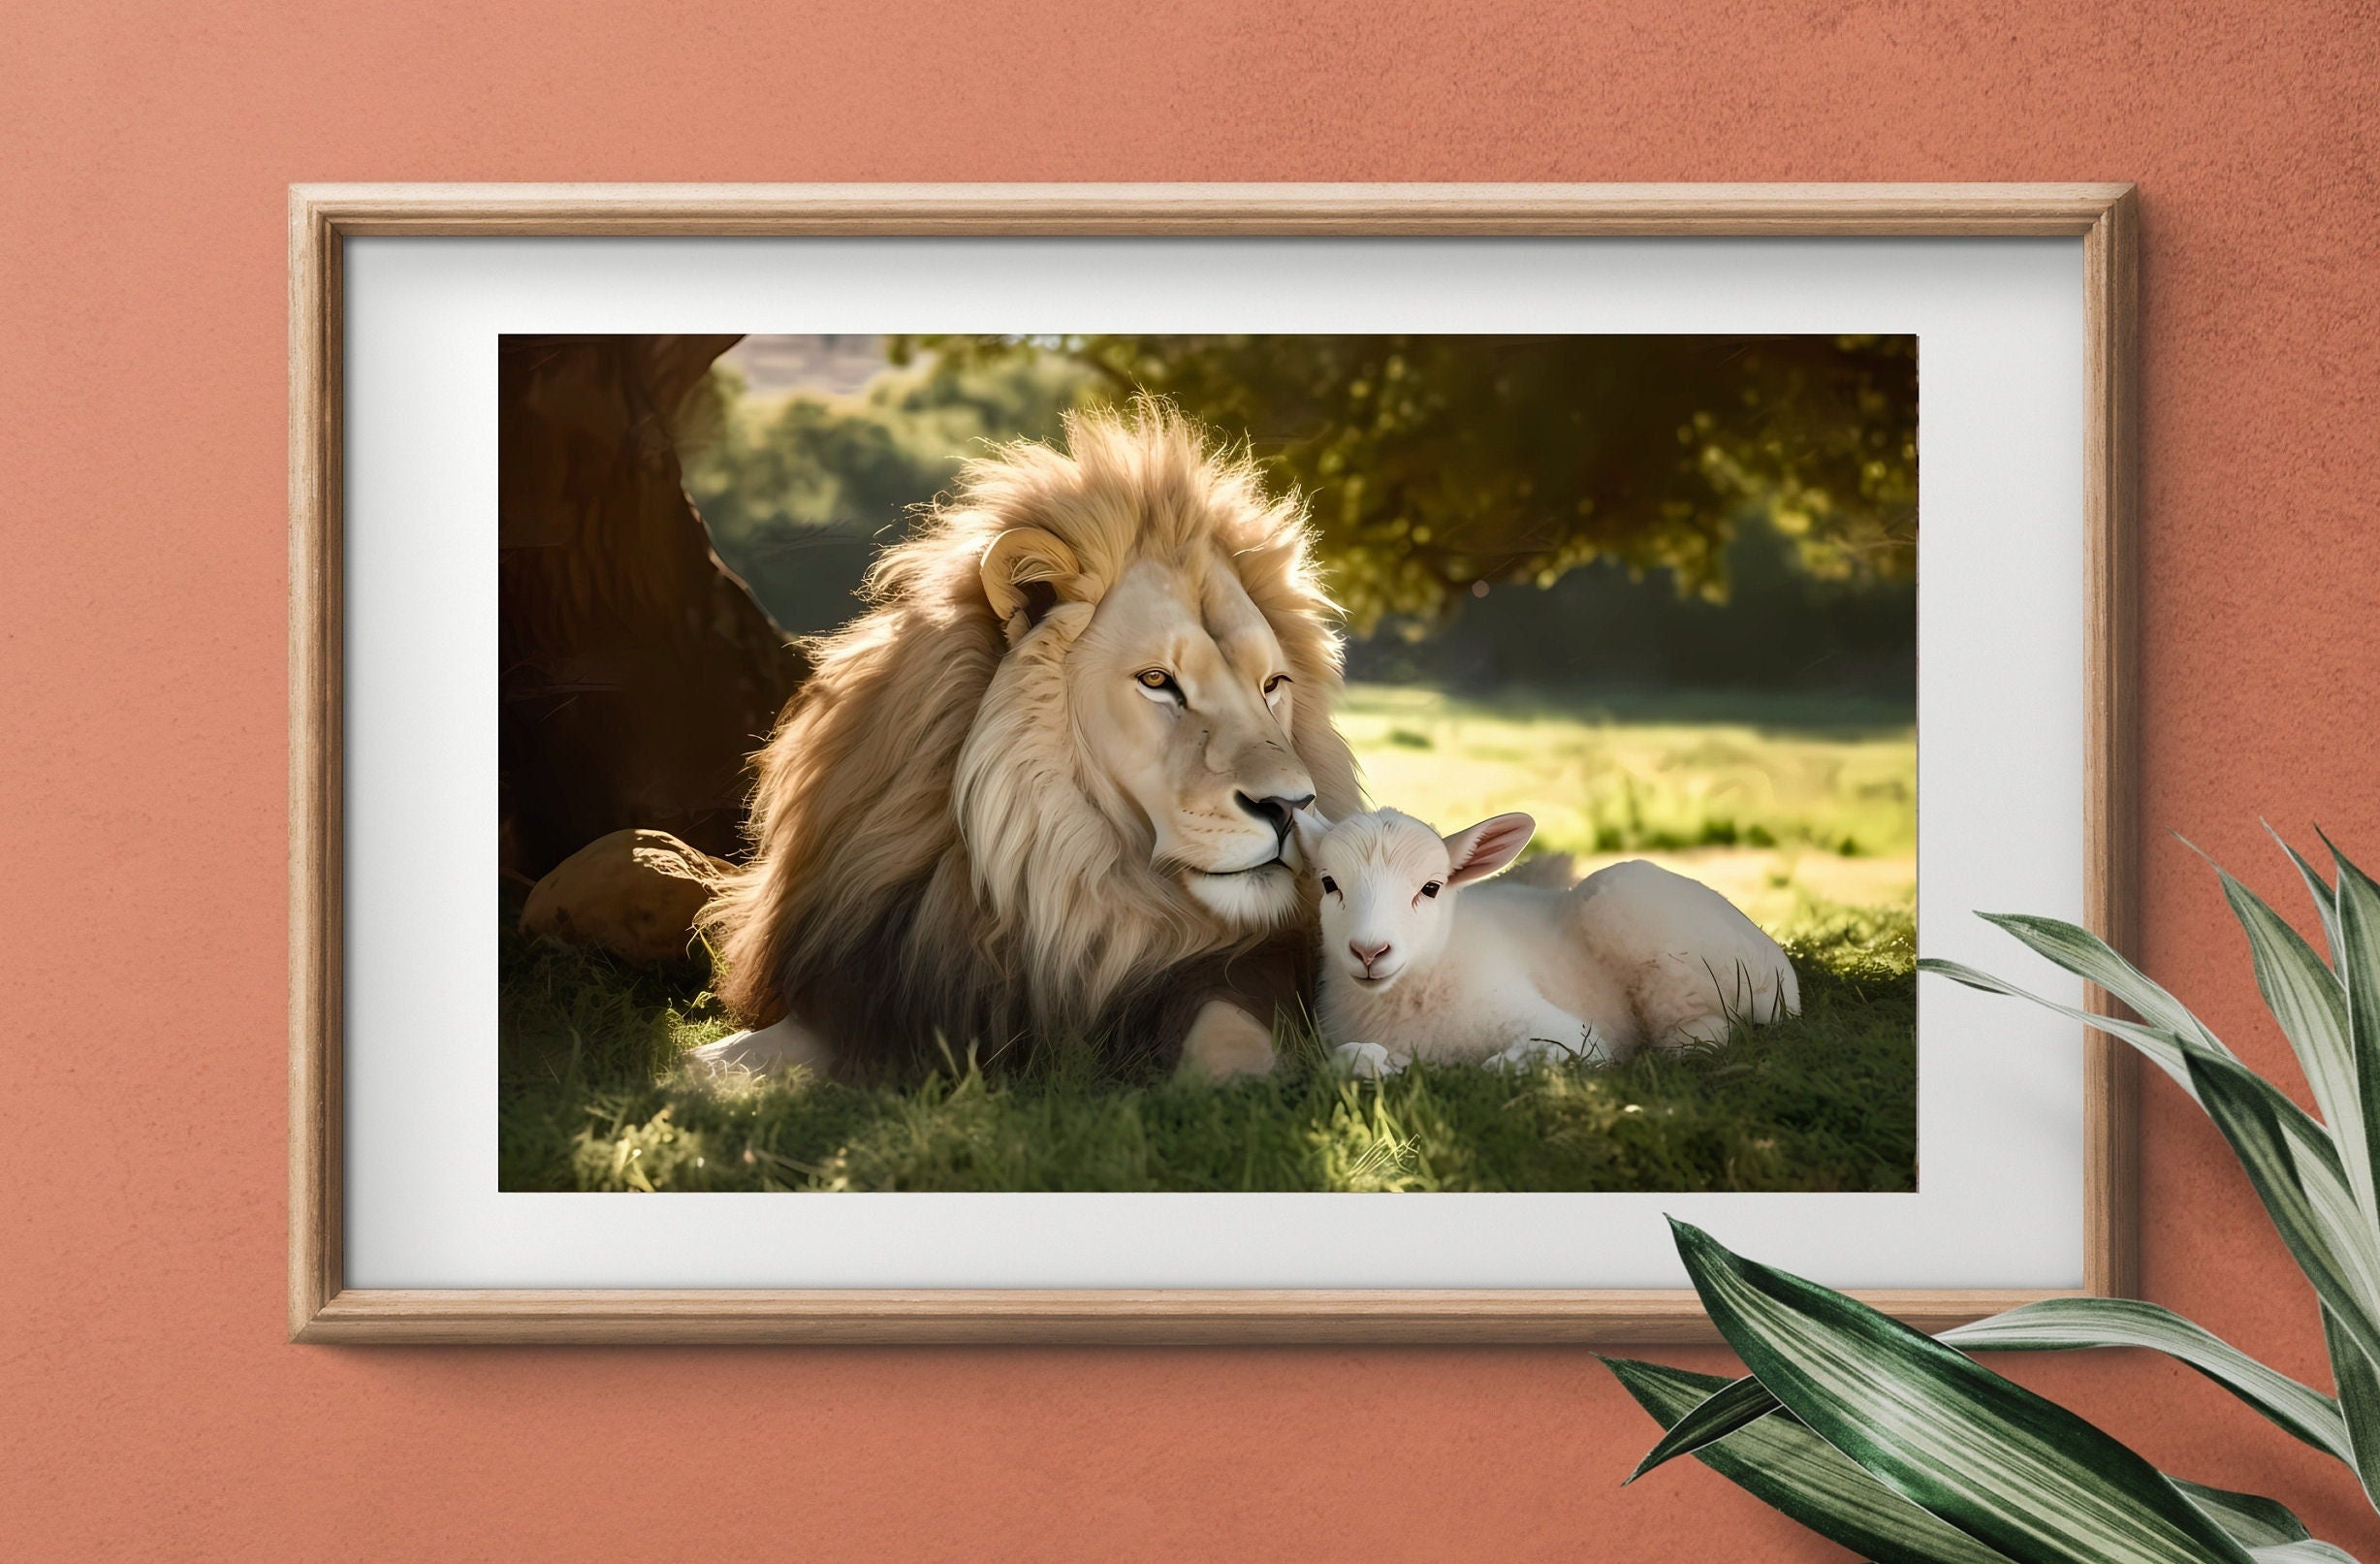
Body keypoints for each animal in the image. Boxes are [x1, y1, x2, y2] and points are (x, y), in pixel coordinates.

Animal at [692, 402, 1362, 1082]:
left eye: (1271, 684)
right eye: (1157, 681)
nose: (1290, 808)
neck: (1060, 885)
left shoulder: (1245, 971)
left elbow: (1230, 1035)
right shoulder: (867, 989)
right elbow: (718, 1062)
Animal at [1295, 808, 1801, 1076]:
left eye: (1431, 888)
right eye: (1329, 883)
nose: (1369, 952)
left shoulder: (1565, 1032)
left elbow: (1501, 1065)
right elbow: (1351, 1059)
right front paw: (1388, 1066)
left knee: (1712, 1028)